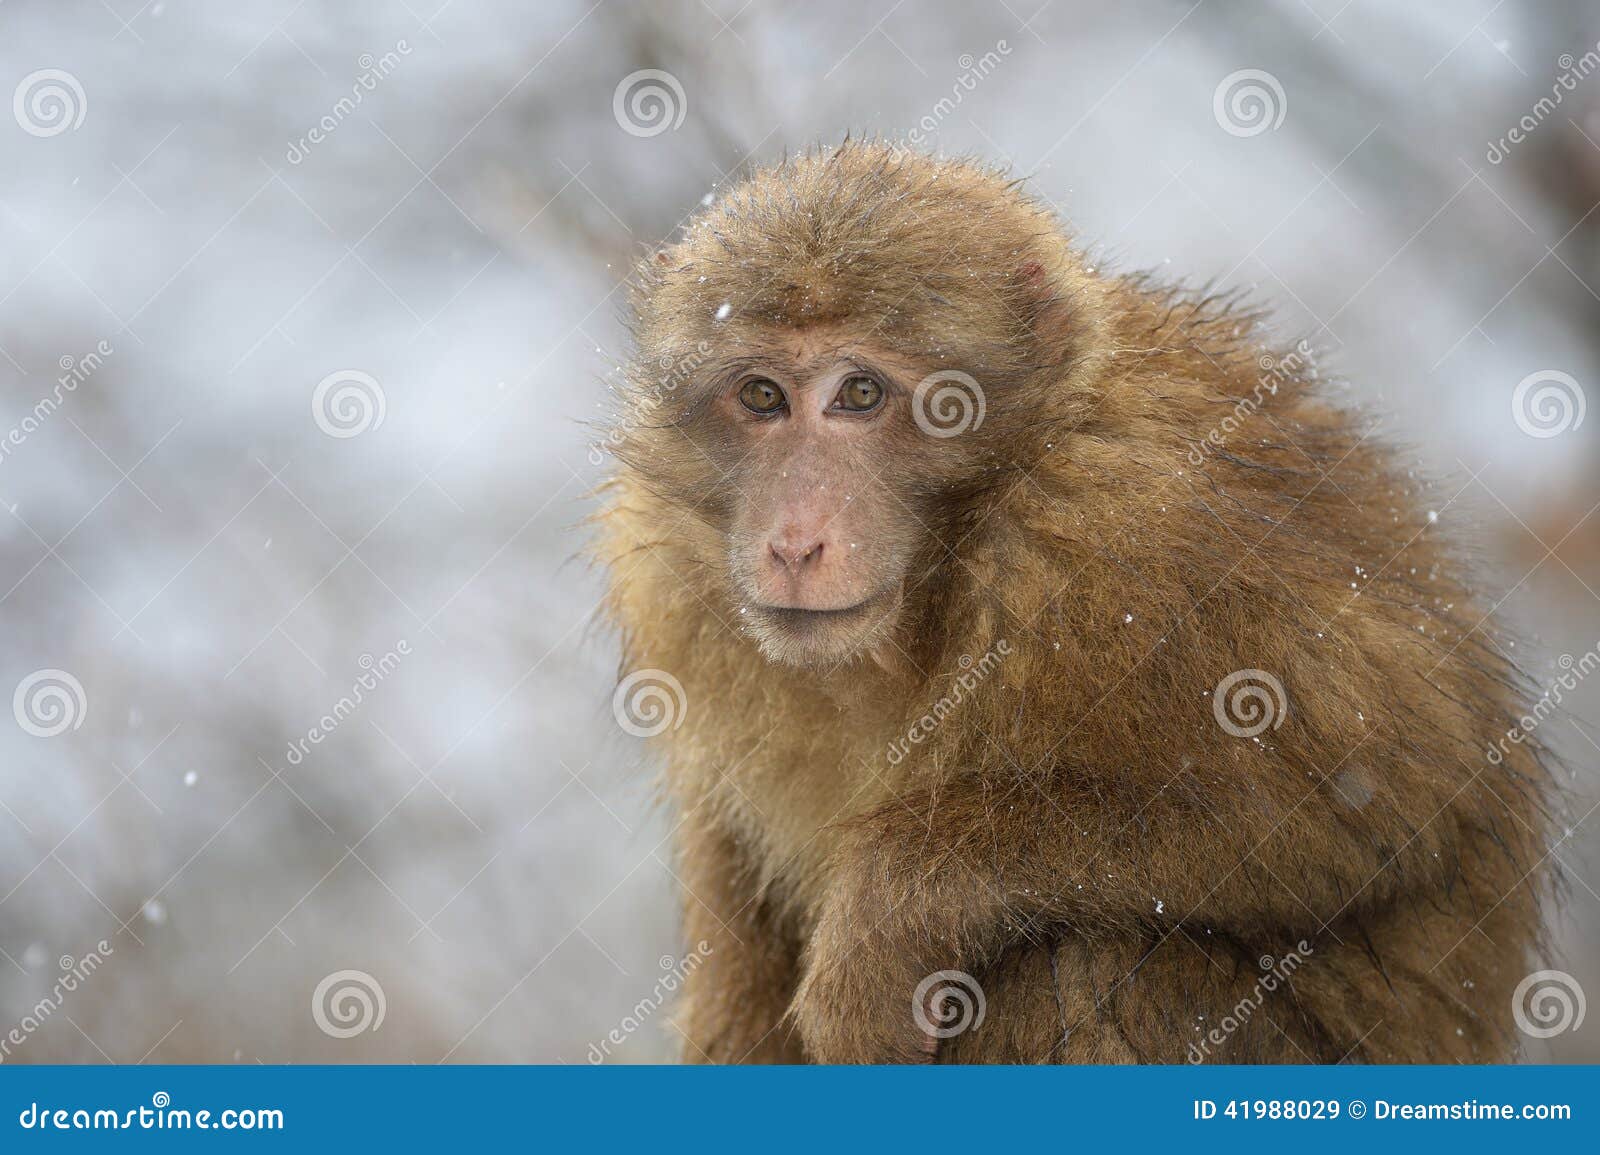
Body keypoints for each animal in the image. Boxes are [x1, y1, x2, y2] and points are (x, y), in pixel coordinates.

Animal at [594, 141, 1555, 1064]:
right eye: (761, 395)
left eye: (859, 393)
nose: (793, 540)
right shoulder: (675, 595)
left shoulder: (1116, 531)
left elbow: (1396, 787)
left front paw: (885, 917)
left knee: (1088, 964)